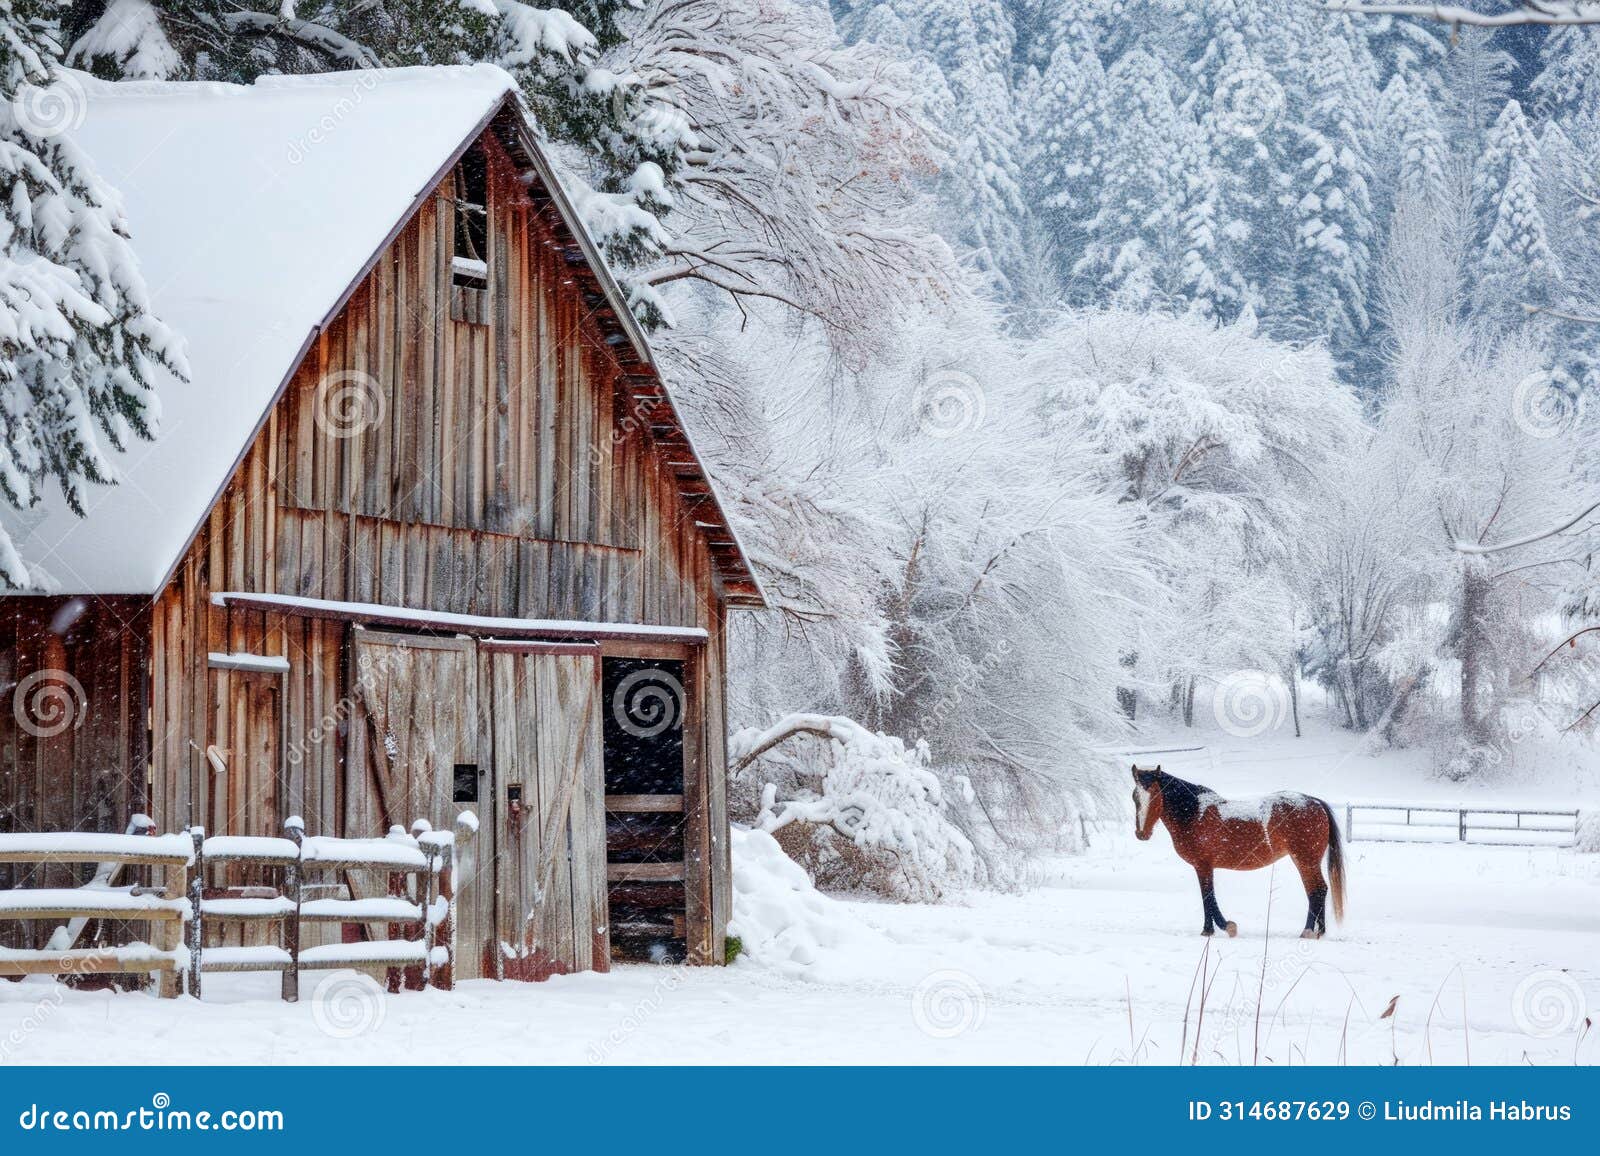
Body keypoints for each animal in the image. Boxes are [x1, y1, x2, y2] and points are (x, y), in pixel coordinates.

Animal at [1130, 765, 1346, 939]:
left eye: (1156, 794)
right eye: (1135, 796)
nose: (1141, 834)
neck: (1194, 814)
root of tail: (1315, 803)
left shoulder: (1203, 865)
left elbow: (1209, 897)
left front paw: (1225, 927)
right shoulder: (1202, 867)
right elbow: (1206, 897)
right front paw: (1209, 930)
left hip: (1305, 860)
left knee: (1316, 890)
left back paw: (1308, 931)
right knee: (1318, 890)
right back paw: (1319, 932)